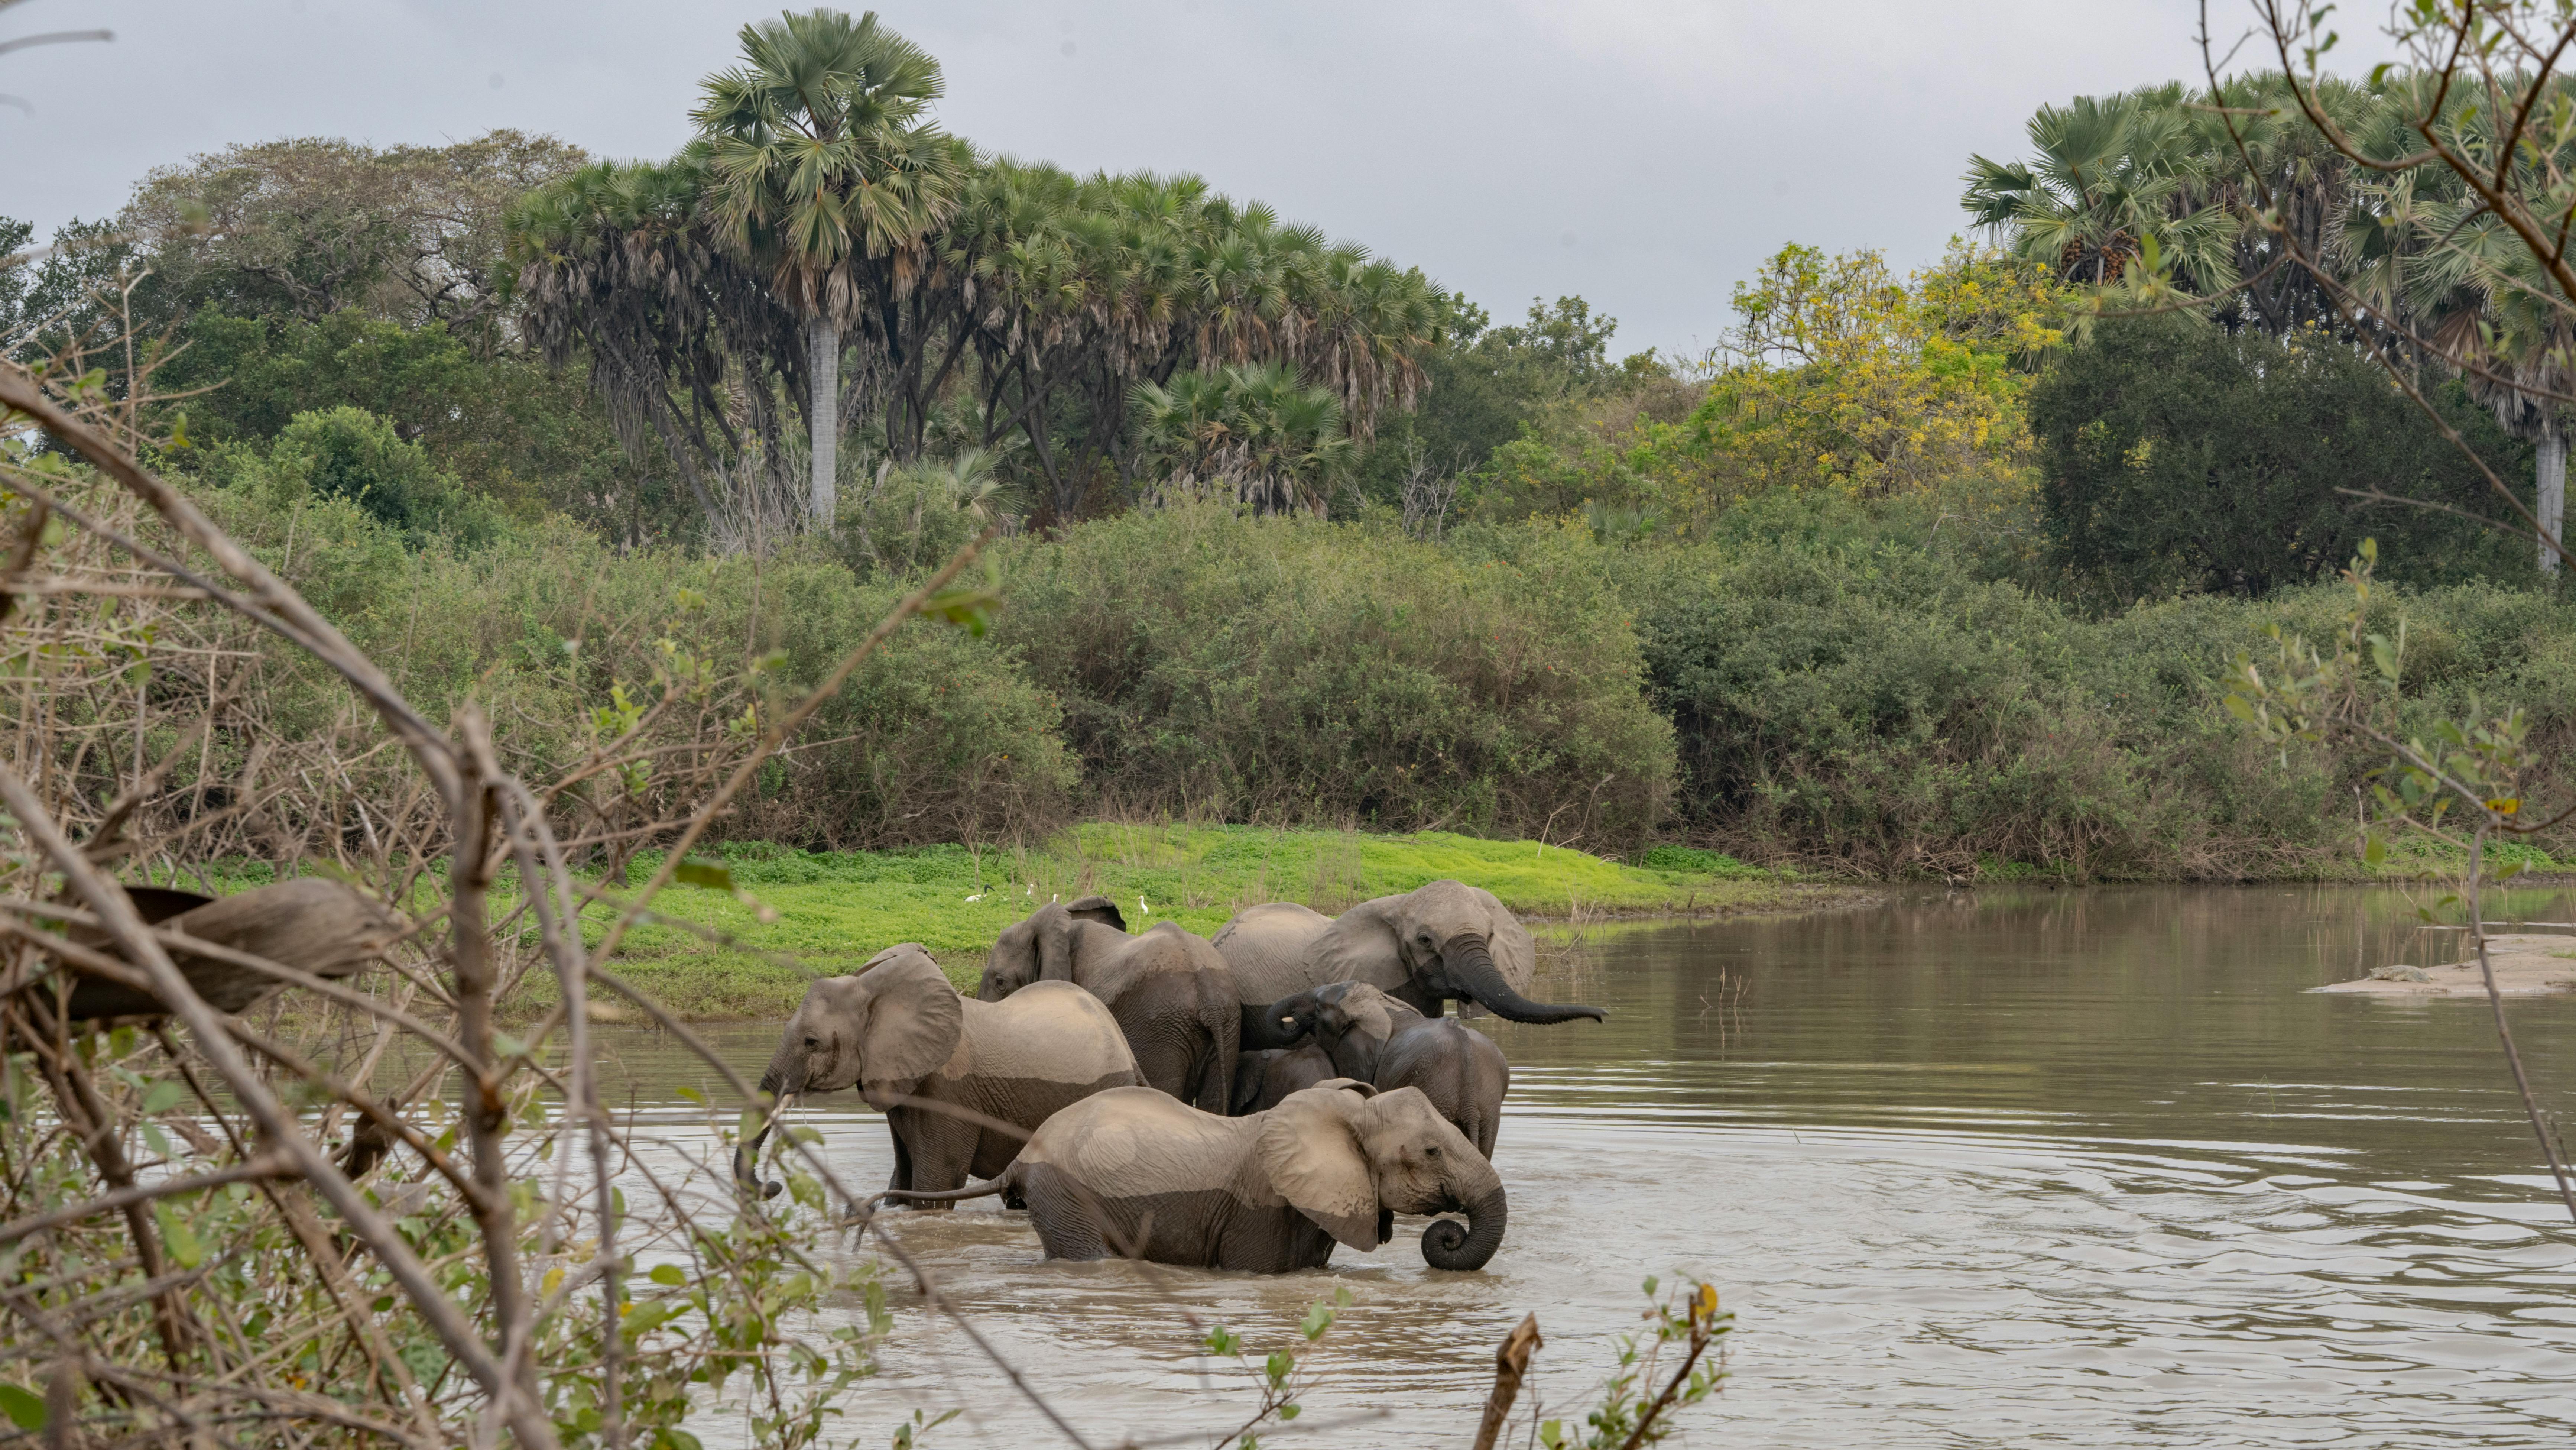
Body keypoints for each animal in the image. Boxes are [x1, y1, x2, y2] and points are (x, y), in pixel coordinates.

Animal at [734, 944, 1141, 1206]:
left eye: (811, 1042)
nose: (773, 1186)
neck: (877, 993)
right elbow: (904, 1178)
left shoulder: (948, 1090)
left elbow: (937, 1182)